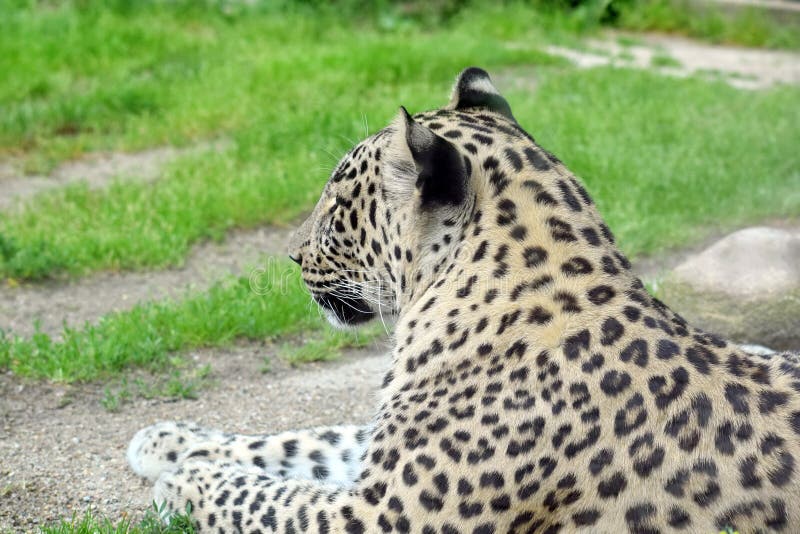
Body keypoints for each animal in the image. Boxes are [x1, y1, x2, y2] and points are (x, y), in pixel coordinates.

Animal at [128, 67, 800, 533]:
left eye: (336, 204)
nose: (292, 256)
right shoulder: (380, 459)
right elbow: (312, 439)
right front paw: (167, 440)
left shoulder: (375, 517)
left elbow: (260, 495)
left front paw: (186, 477)